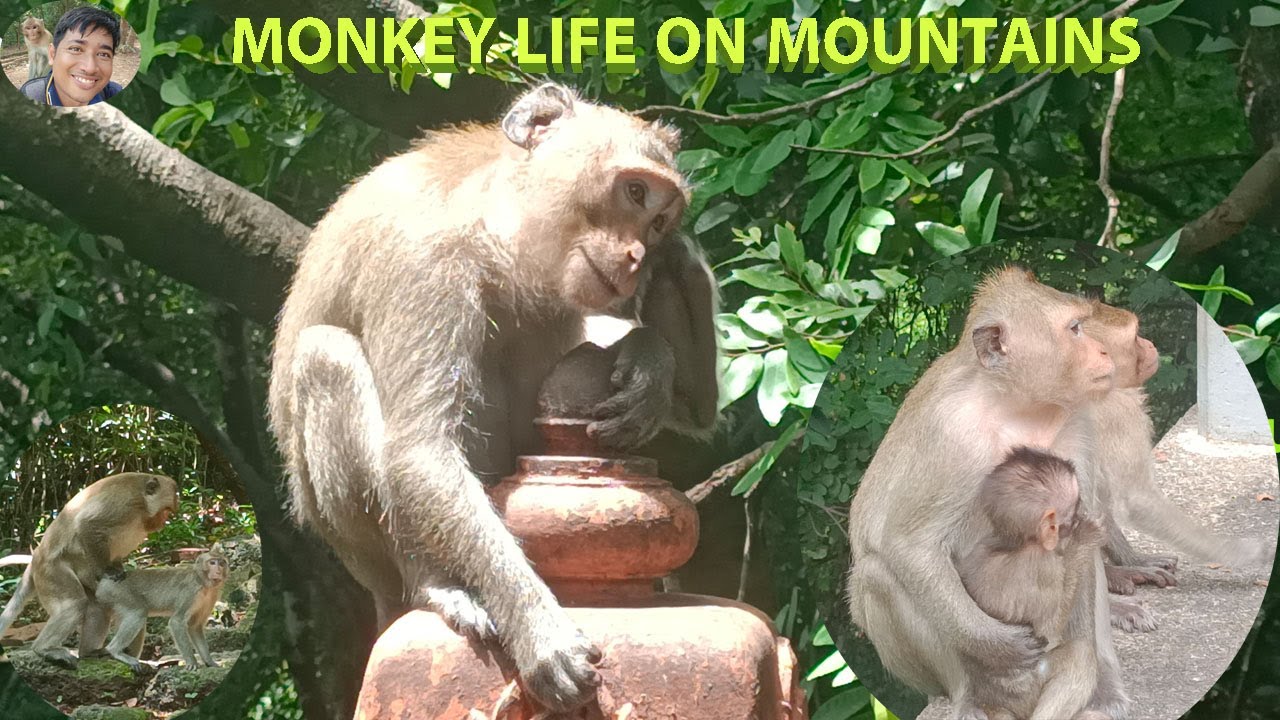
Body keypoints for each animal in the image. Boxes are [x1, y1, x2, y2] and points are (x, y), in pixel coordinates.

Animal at [0, 472, 178, 668]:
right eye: (165, 511)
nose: (162, 522)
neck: (143, 505)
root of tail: (36, 557)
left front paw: (117, 569)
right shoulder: (125, 502)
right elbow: (88, 525)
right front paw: (107, 572)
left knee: (98, 607)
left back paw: (89, 652)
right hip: (51, 570)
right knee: (73, 603)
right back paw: (44, 649)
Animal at [95, 551, 228, 671]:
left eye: (221, 563)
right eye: (212, 562)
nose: (219, 570)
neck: (202, 581)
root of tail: (103, 583)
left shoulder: (212, 596)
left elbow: (195, 626)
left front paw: (210, 662)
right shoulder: (191, 591)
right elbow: (176, 622)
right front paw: (191, 662)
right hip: (118, 594)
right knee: (138, 613)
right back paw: (115, 651)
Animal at [267, 83, 719, 713]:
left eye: (659, 221)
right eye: (634, 192)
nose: (637, 257)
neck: (490, 227)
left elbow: (695, 410)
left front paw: (656, 343)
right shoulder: (425, 261)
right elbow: (419, 451)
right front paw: (539, 630)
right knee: (326, 358)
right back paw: (434, 585)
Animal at [956, 447, 1107, 720]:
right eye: (1073, 515)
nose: (1079, 518)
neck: (1013, 545)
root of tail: (993, 704)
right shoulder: (1042, 566)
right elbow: (1049, 628)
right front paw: (1085, 538)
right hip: (1026, 695)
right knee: (1081, 655)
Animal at [1084, 303, 1274, 631]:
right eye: (1135, 336)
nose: (1150, 344)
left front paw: (1135, 561)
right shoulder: (1119, 411)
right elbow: (1137, 501)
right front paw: (1253, 553)